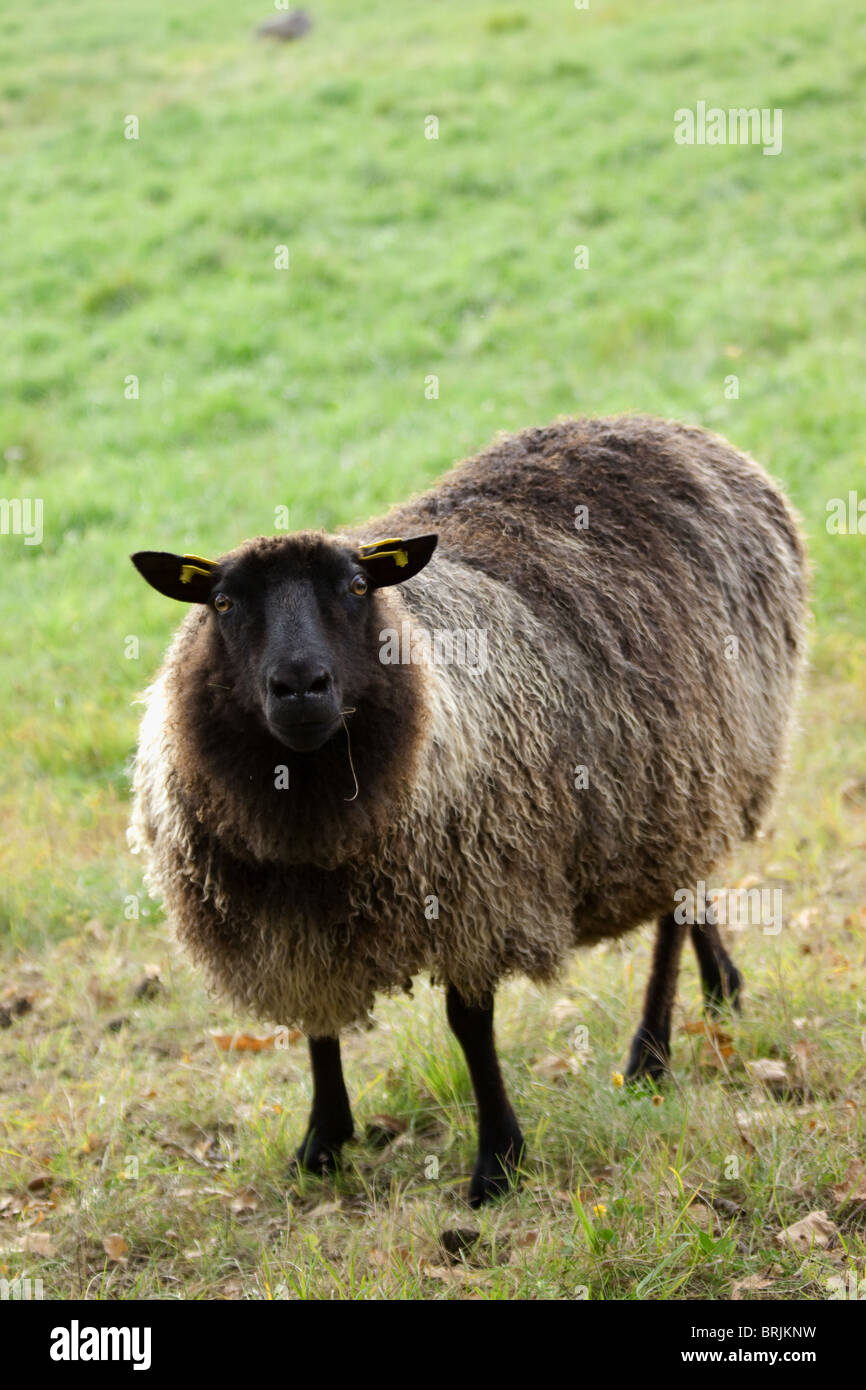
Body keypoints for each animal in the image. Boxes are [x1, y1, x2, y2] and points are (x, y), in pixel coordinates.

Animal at [128, 414, 808, 1206]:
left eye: (357, 585)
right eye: (224, 604)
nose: (300, 686)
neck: (313, 815)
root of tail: (678, 430)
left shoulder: (476, 890)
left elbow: (469, 1026)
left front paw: (498, 1161)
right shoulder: (297, 922)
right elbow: (320, 1022)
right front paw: (322, 1143)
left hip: (693, 767)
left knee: (670, 915)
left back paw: (649, 1056)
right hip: (676, 781)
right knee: (691, 886)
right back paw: (722, 986)